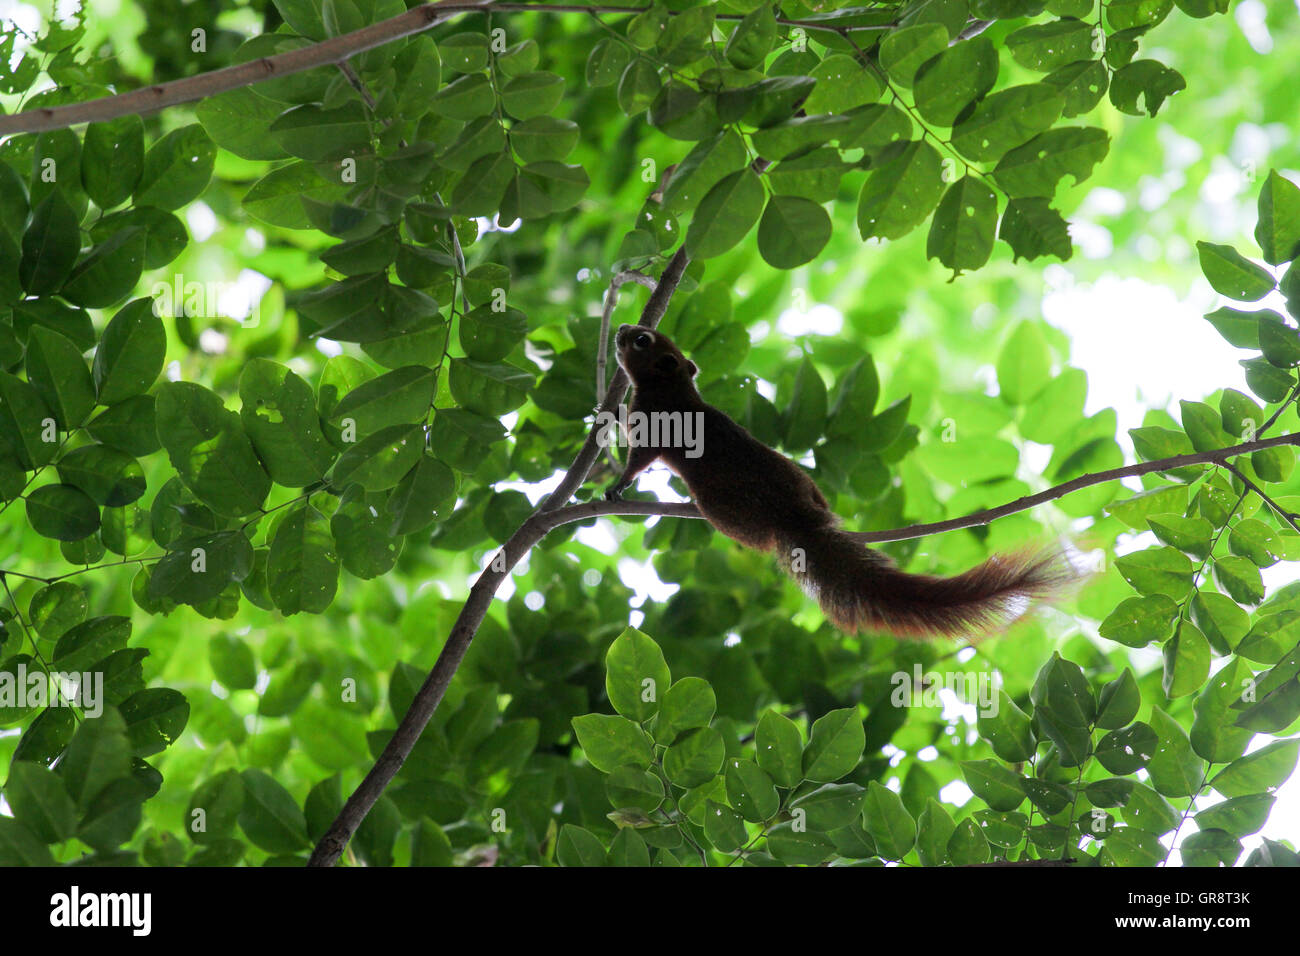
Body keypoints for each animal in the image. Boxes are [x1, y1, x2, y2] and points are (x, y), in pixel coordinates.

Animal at [603, 323, 1069, 638]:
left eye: (643, 340)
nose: (623, 328)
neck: (672, 385)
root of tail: (796, 516)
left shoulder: (651, 422)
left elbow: (638, 458)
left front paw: (615, 475)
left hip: (726, 511)